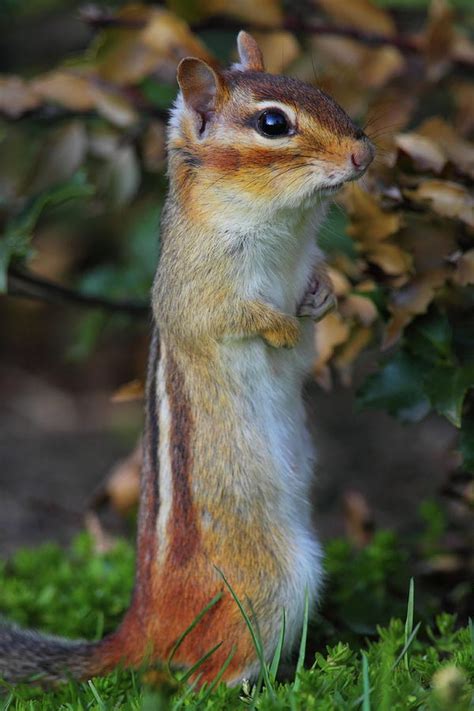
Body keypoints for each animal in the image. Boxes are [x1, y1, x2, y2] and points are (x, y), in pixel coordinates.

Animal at [0, 32, 374, 687]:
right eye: (273, 123)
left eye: (320, 90)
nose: (364, 153)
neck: (286, 231)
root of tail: (142, 627)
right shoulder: (196, 294)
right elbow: (233, 319)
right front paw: (278, 324)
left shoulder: (302, 262)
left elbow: (313, 307)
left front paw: (321, 297)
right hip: (274, 581)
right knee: (194, 675)